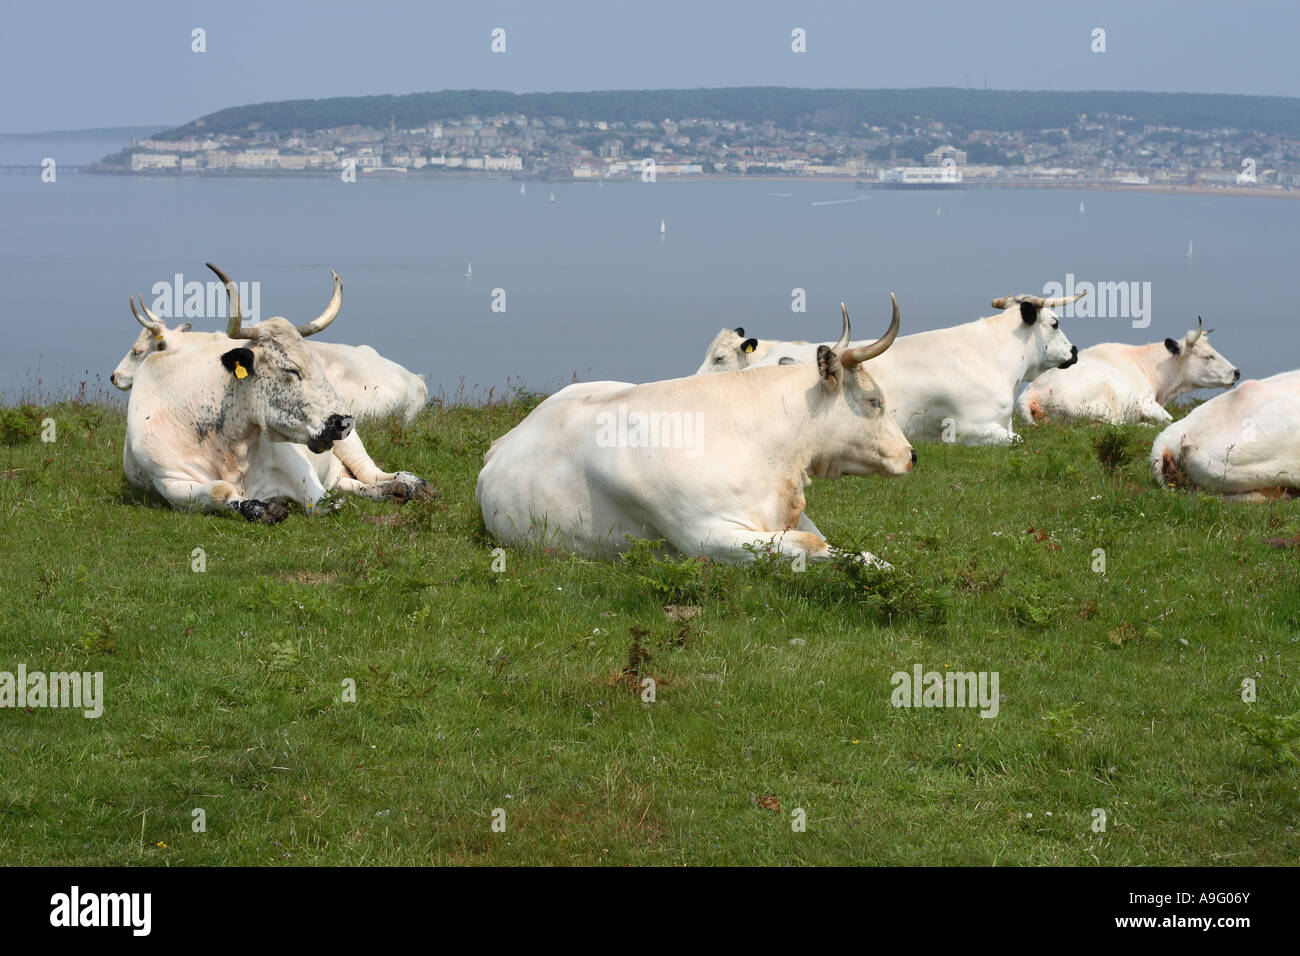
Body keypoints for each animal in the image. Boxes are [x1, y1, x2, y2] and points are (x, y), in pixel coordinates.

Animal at [478, 295, 914, 564]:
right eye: (874, 401)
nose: (911, 455)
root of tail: (500, 443)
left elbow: (851, 551)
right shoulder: (705, 537)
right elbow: (812, 545)